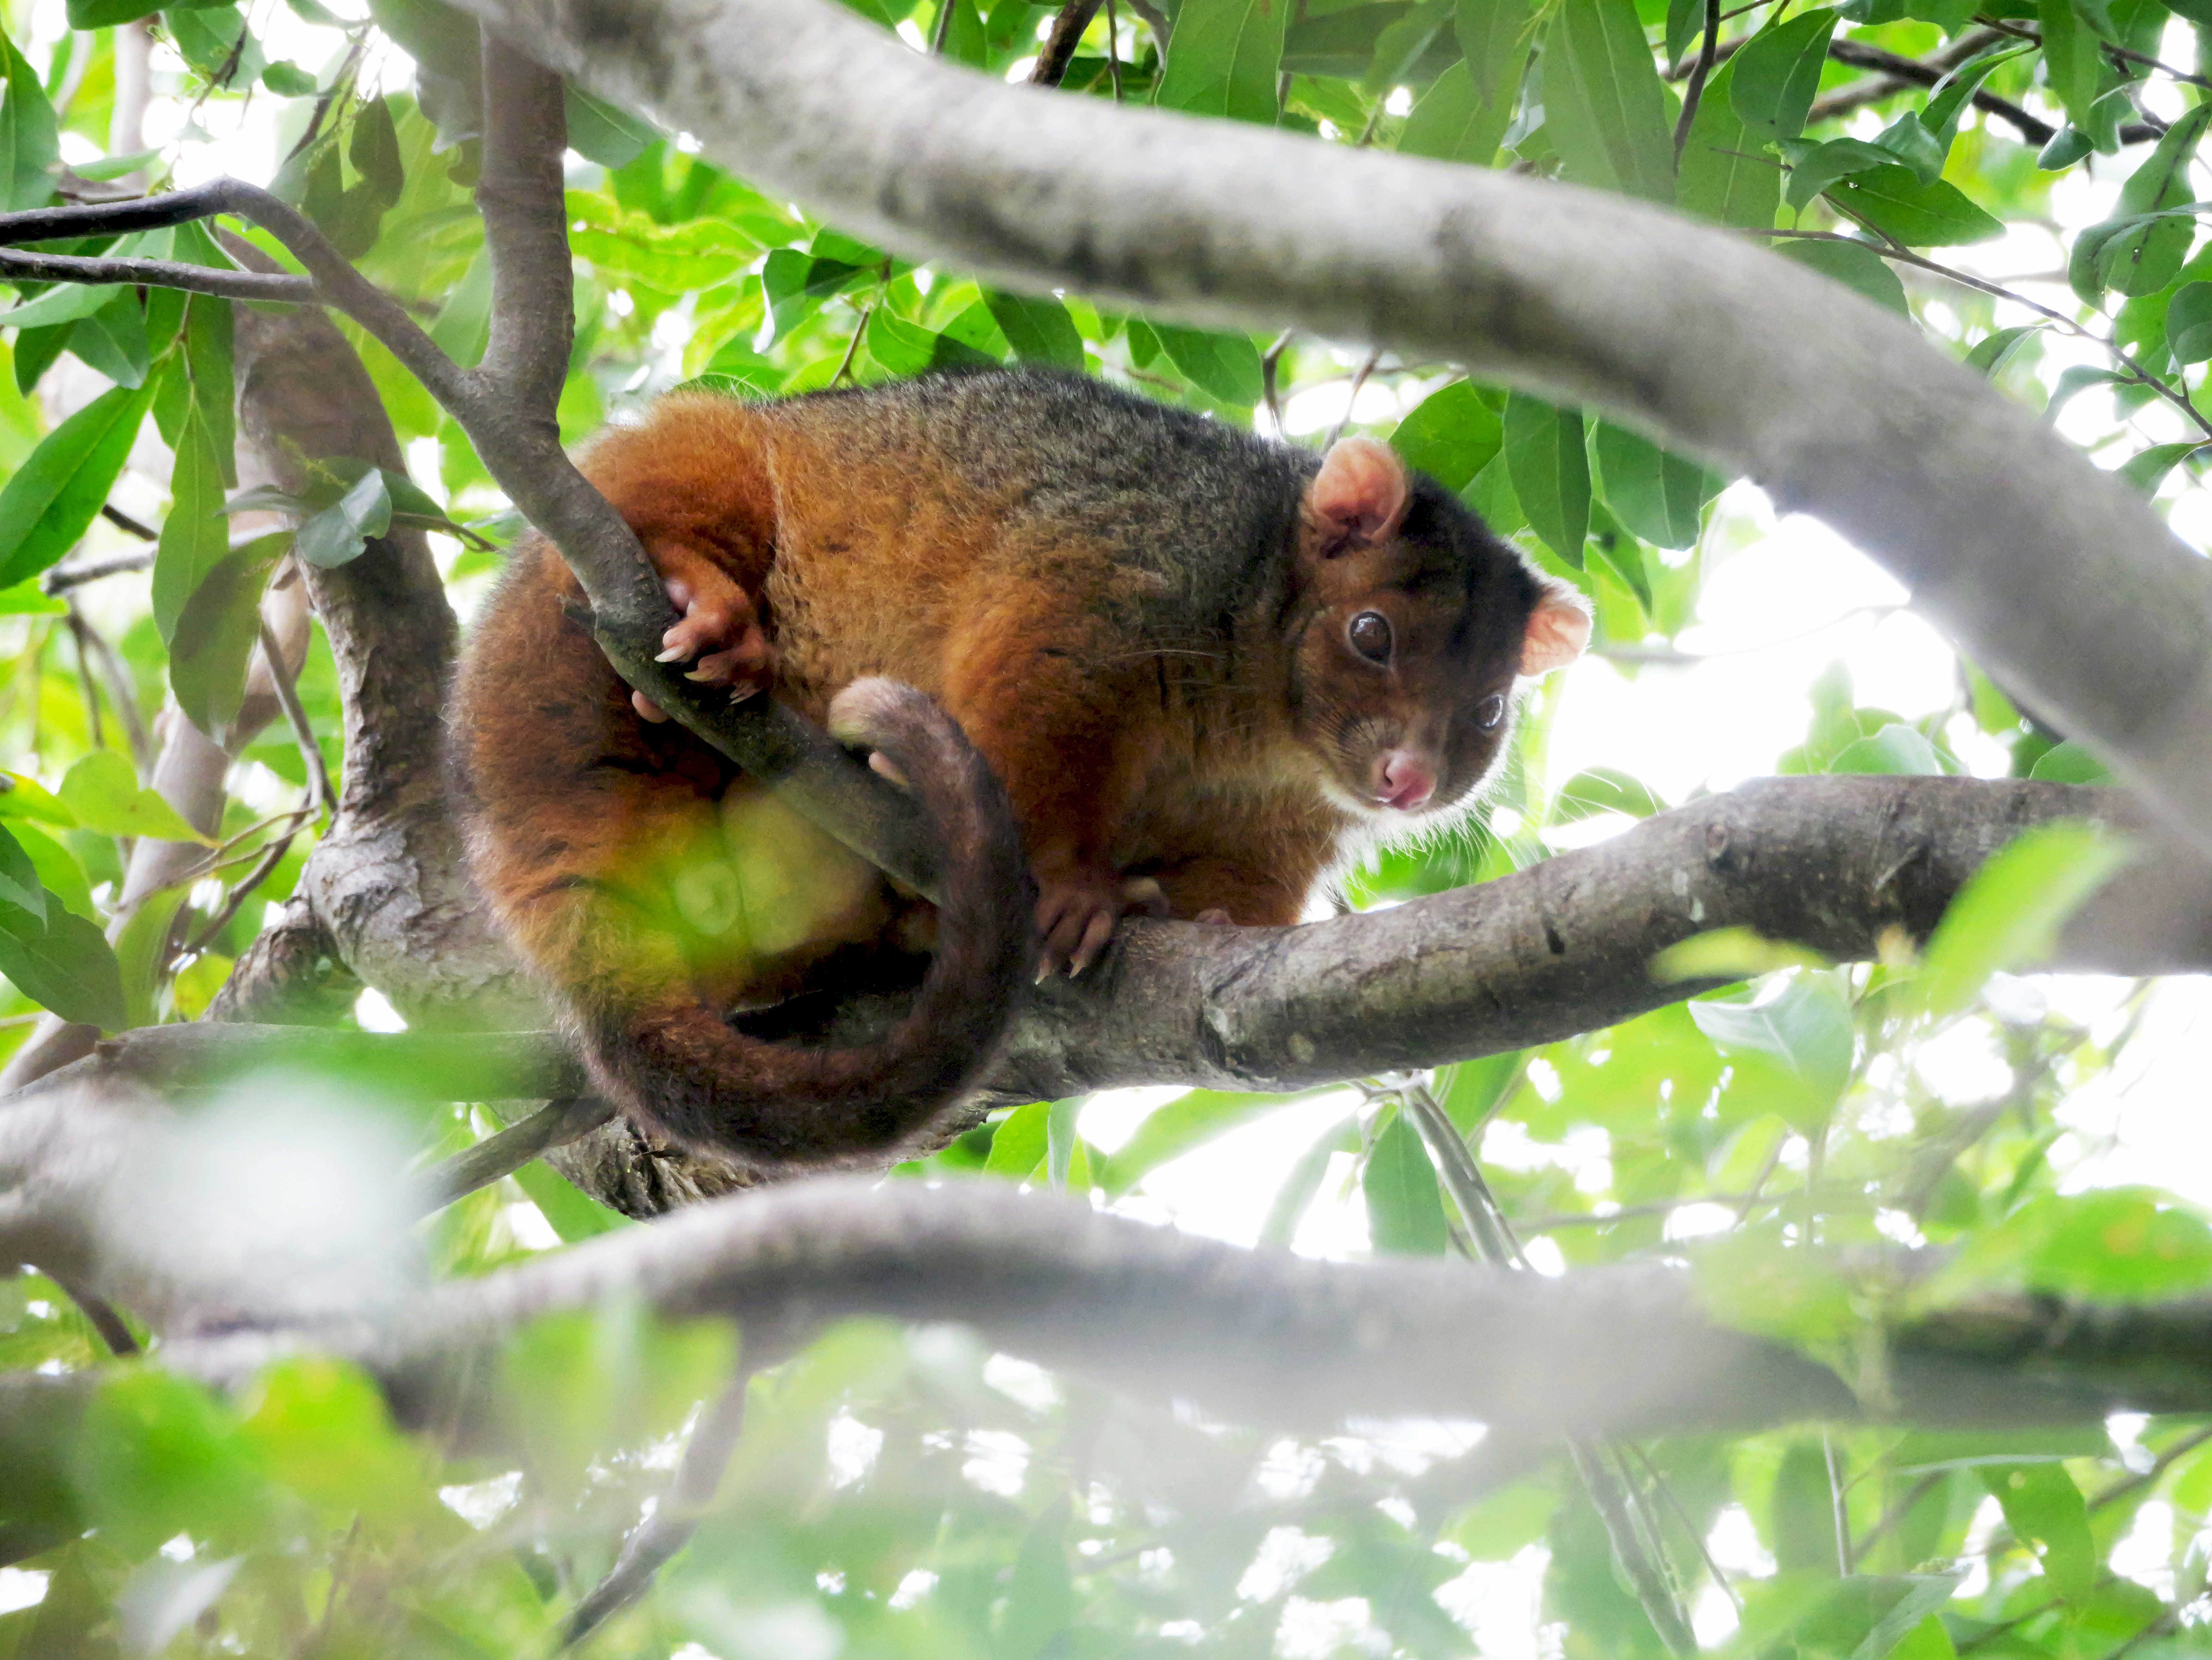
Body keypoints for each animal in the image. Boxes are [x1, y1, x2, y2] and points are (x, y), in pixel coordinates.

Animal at [450, 367, 1591, 1170]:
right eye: (1371, 635)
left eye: (1486, 713)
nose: (1410, 776)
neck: (1264, 722)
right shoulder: (1142, 567)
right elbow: (1043, 664)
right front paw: (1076, 888)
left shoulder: (1293, 814)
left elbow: (1251, 883)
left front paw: (1207, 916)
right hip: (571, 592)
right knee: (698, 456)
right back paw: (706, 605)